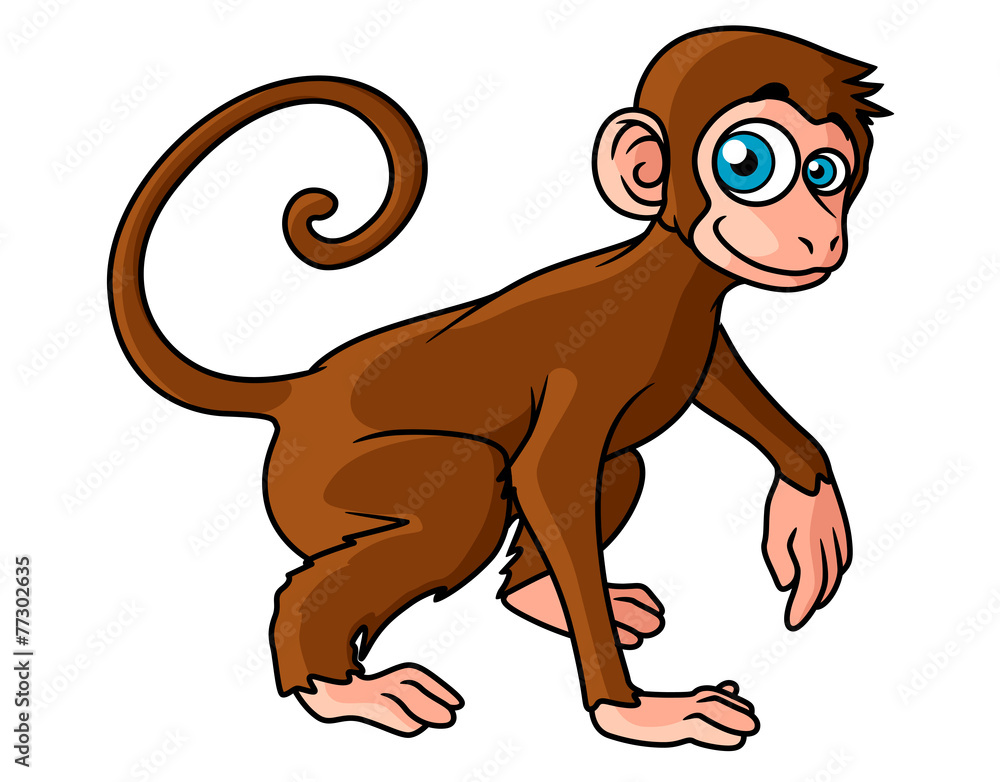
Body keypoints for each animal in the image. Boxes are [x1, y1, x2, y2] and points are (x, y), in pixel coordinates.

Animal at [108, 27, 888, 748]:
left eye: (827, 171)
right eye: (748, 162)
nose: (819, 236)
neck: (672, 285)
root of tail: (298, 392)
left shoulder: (696, 337)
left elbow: (716, 381)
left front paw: (809, 493)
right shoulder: (589, 364)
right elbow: (548, 476)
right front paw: (633, 713)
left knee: (618, 463)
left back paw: (535, 595)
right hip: (318, 484)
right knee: (465, 490)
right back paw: (340, 686)